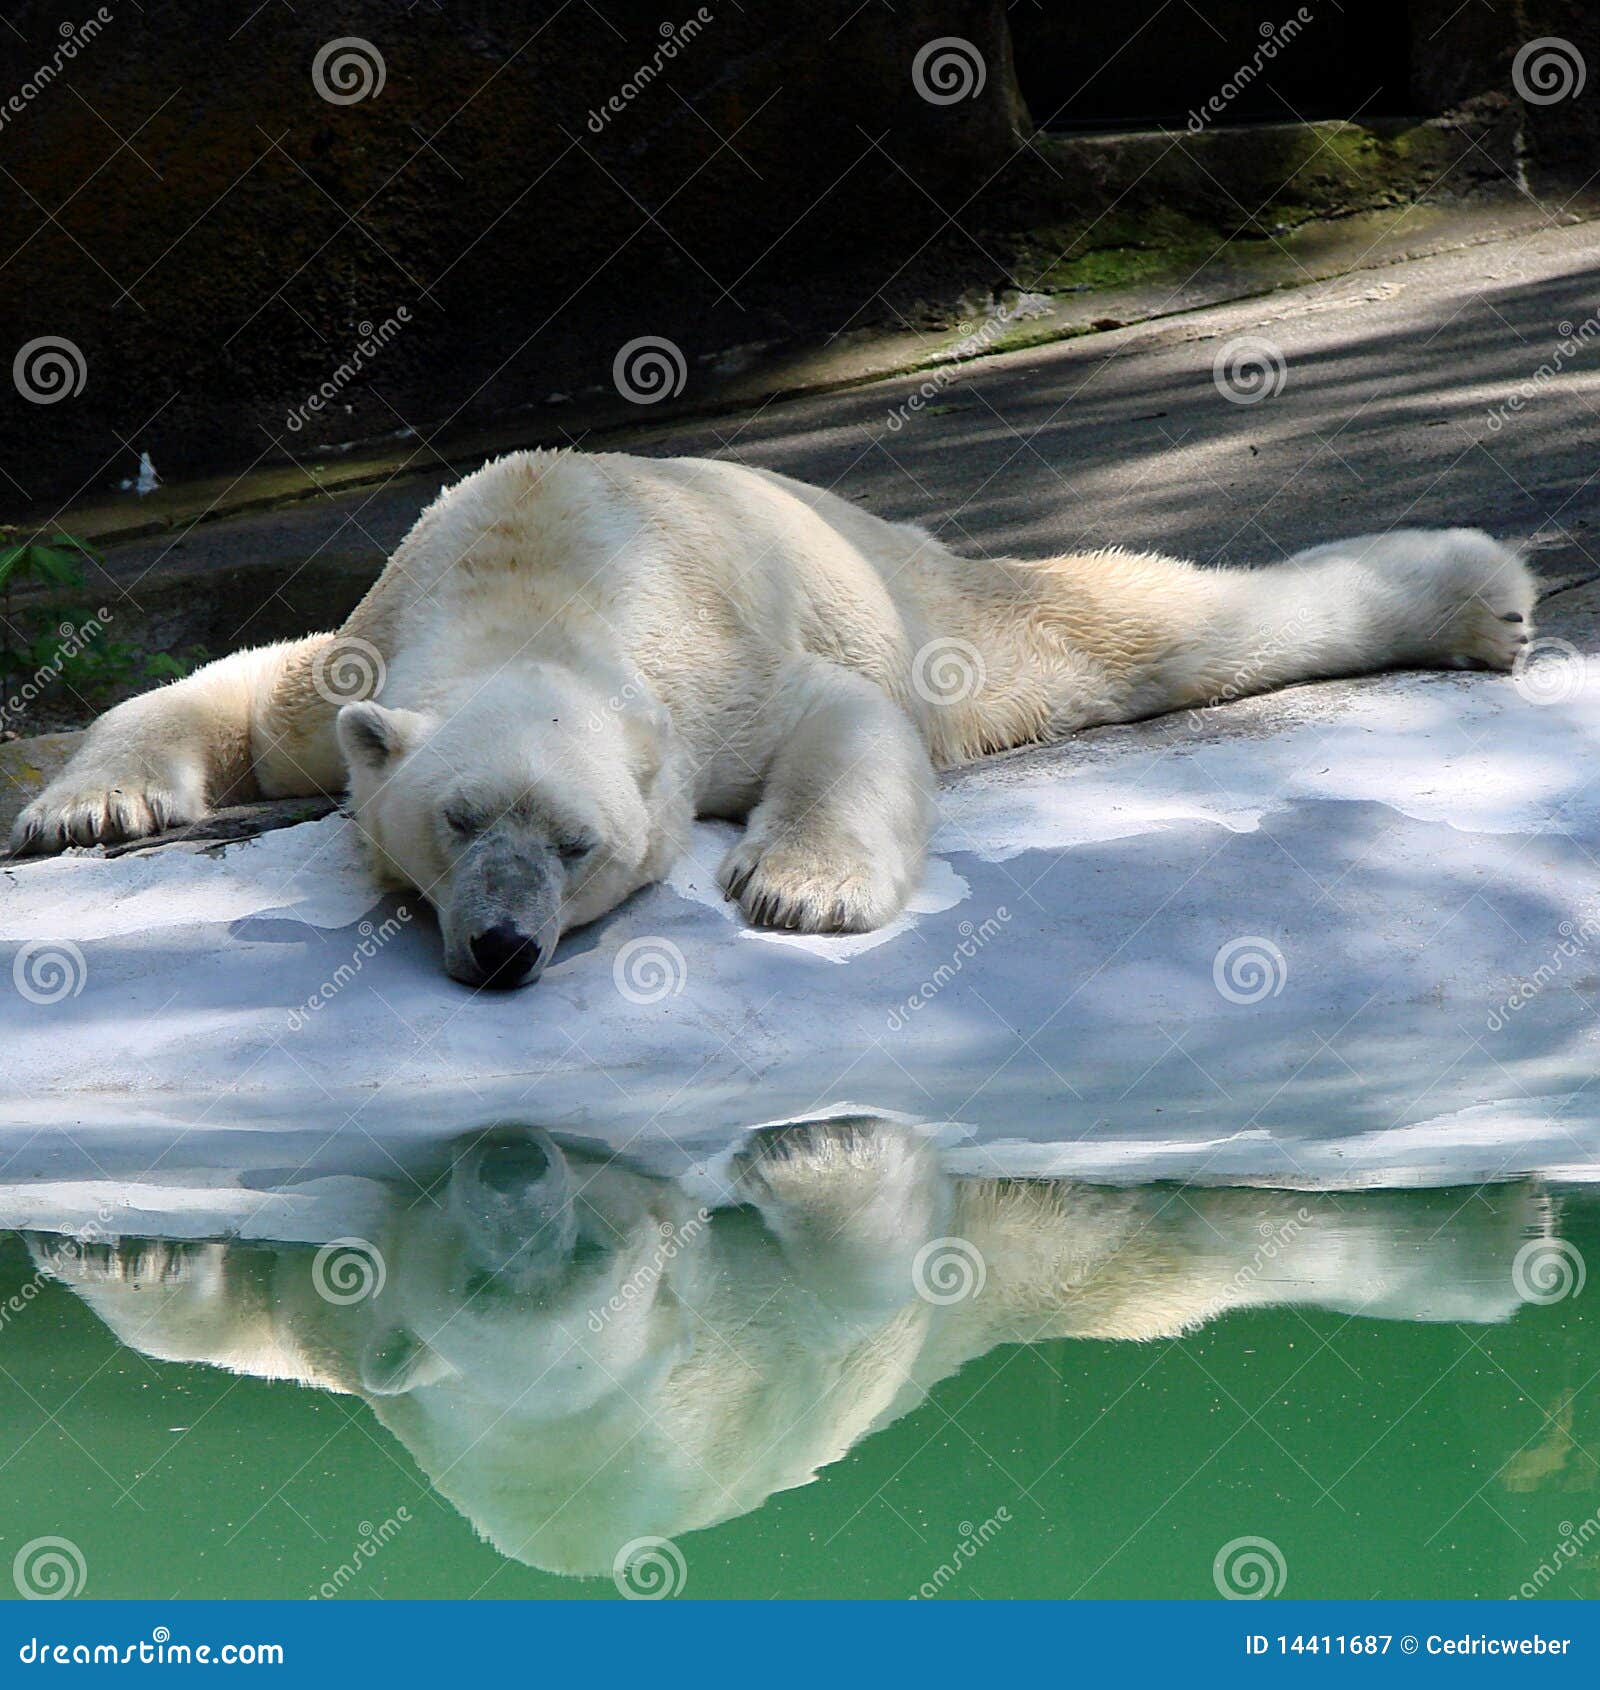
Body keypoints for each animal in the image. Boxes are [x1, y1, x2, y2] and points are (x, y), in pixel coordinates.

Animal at [9, 449, 1536, 986]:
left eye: (578, 846)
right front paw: (84, 804)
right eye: (456, 823)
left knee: (1127, 621)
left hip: (928, 603)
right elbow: (235, 687)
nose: (501, 948)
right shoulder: (369, 647)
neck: (529, 581)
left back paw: (1483, 596)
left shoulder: (713, 663)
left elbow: (841, 719)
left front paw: (799, 889)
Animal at [27, 1118, 1549, 1579]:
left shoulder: (732, 1368)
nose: (514, 1161)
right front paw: (115, 1250)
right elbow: (276, 1319)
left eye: (584, 1256)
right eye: (479, 1266)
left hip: (1025, 1258)